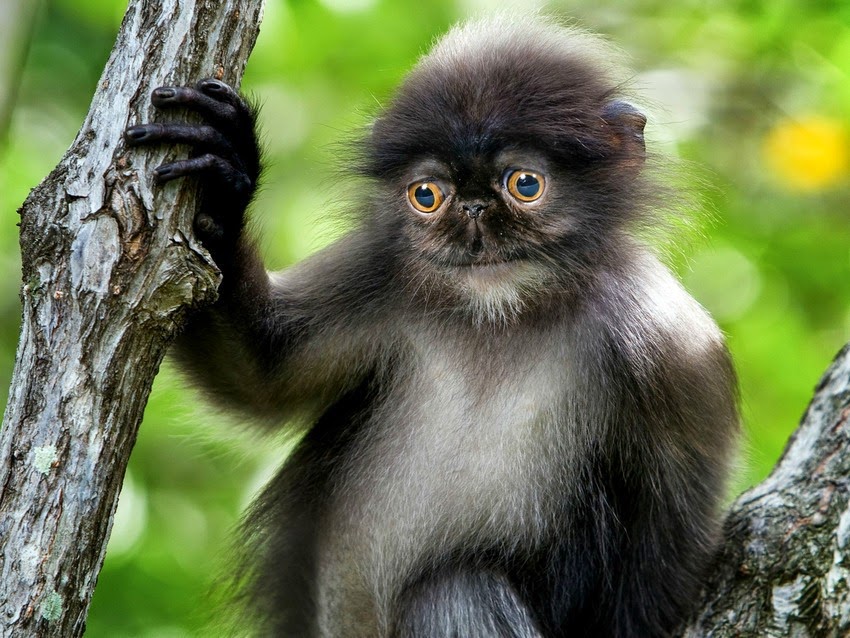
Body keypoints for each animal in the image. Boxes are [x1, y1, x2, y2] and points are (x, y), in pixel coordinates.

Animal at [125, 15, 739, 638]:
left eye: (525, 184)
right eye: (427, 195)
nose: (472, 211)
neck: (500, 317)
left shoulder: (669, 344)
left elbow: (666, 548)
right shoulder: (380, 270)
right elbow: (260, 374)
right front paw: (225, 183)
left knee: (455, 589)